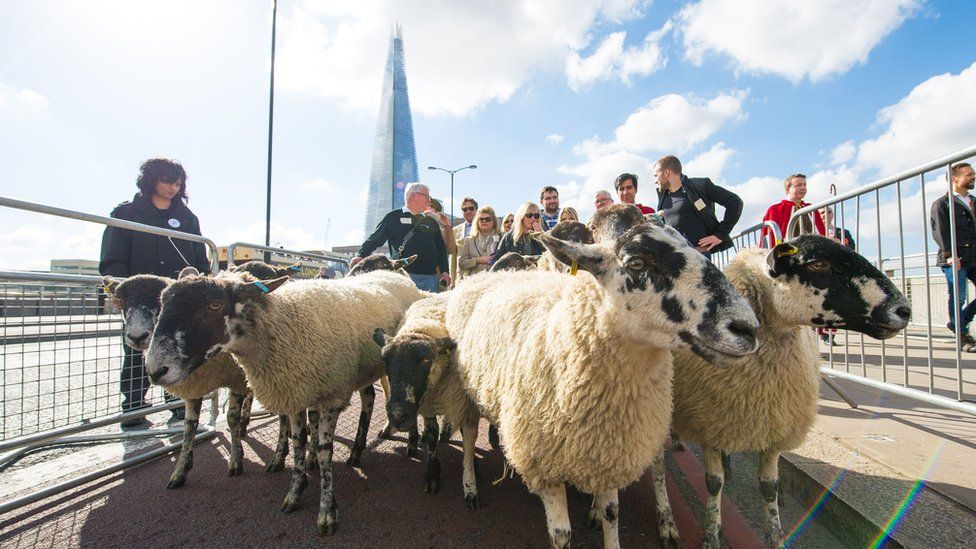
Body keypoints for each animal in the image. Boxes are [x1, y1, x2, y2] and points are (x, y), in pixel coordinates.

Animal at [103, 271, 253, 489]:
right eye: (120, 297)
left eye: (214, 305)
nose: (137, 337)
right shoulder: (193, 385)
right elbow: (189, 427)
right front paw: (181, 470)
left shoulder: (236, 379)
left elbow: (231, 418)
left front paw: (235, 460)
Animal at [145, 270, 426, 536]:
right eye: (162, 304)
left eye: (214, 305)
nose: (155, 371)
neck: (281, 326)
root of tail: (393, 273)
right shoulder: (295, 393)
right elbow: (299, 440)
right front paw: (295, 491)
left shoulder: (331, 395)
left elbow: (324, 451)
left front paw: (327, 511)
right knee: (368, 397)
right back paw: (356, 452)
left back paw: (398, 443)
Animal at [372, 293, 482, 507]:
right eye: (384, 360)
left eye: (425, 360)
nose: (398, 416)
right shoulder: (428, 407)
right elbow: (432, 438)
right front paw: (432, 475)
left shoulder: (465, 407)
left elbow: (468, 443)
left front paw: (470, 485)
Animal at [445, 225, 761, 548]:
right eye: (637, 263)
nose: (747, 329)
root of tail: (490, 275)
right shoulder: (544, 466)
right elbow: (561, 535)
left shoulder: (609, 454)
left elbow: (612, 512)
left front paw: (604, 518)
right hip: (464, 391)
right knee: (469, 437)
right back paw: (470, 485)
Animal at [670, 236, 911, 548]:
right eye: (818, 264)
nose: (904, 310)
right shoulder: (709, 422)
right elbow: (714, 483)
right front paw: (712, 533)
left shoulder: (777, 422)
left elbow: (768, 485)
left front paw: (775, 534)